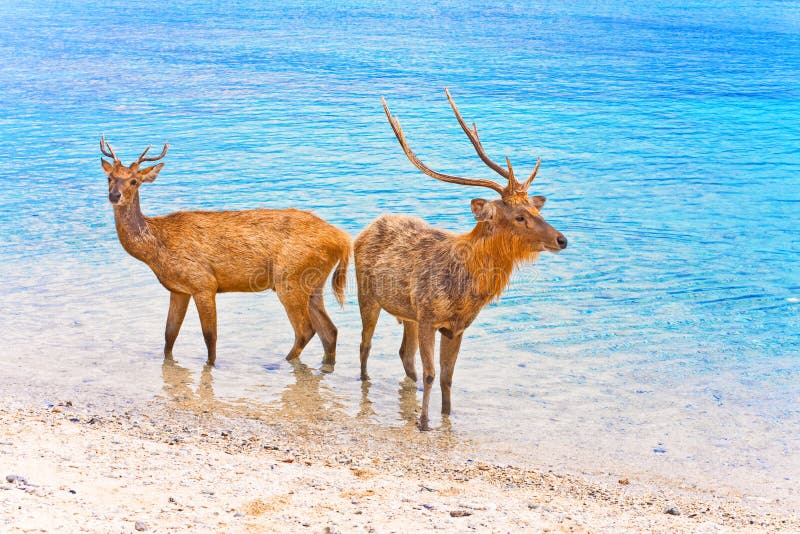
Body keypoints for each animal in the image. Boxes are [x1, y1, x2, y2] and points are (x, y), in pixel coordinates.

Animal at [100, 138, 351, 370]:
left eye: (134, 181)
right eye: (110, 177)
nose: (114, 195)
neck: (157, 249)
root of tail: (342, 239)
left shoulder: (203, 283)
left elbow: (210, 337)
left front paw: (210, 366)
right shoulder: (178, 289)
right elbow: (169, 336)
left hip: (290, 278)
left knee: (306, 330)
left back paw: (279, 363)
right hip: (313, 283)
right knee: (330, 331)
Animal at [354, 90, 567, 430]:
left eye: (537, 210)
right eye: (519, 216)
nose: (562, 239)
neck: (464, 291)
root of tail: (367, 228)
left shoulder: (456, 327)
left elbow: (447, 377)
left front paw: (445, 417)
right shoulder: (428, 317)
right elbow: (431, 374)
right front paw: (424, 423)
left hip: (407, 314)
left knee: (404, 354)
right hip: (368, 296)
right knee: (365, 345)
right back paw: (365, 384)